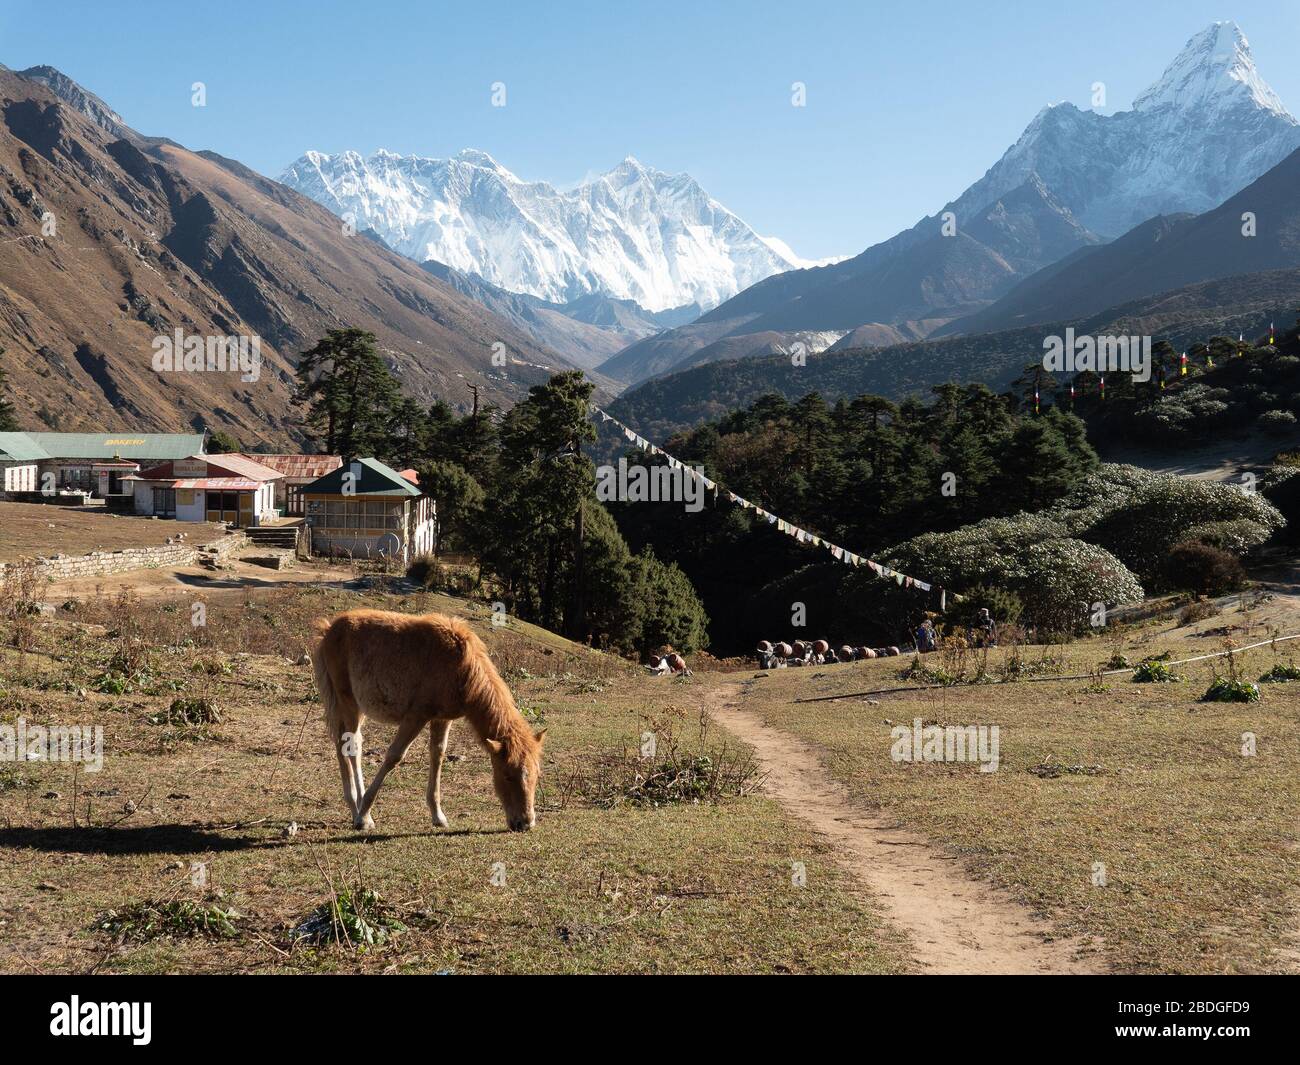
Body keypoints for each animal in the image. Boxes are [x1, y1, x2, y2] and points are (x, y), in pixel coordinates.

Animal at [310, 609, 546, 833]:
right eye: (507, 776)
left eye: (536, 775)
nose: (525, 823)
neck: (460, 668)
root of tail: (329, 629)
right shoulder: (416, 716)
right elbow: (394, 757)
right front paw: (365, 813)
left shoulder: (442, 718)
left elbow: (438, 755)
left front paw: (438, 816)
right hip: (347, 700)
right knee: (351, 746)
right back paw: (360, 812)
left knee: (346, 743)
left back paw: (355, 807)